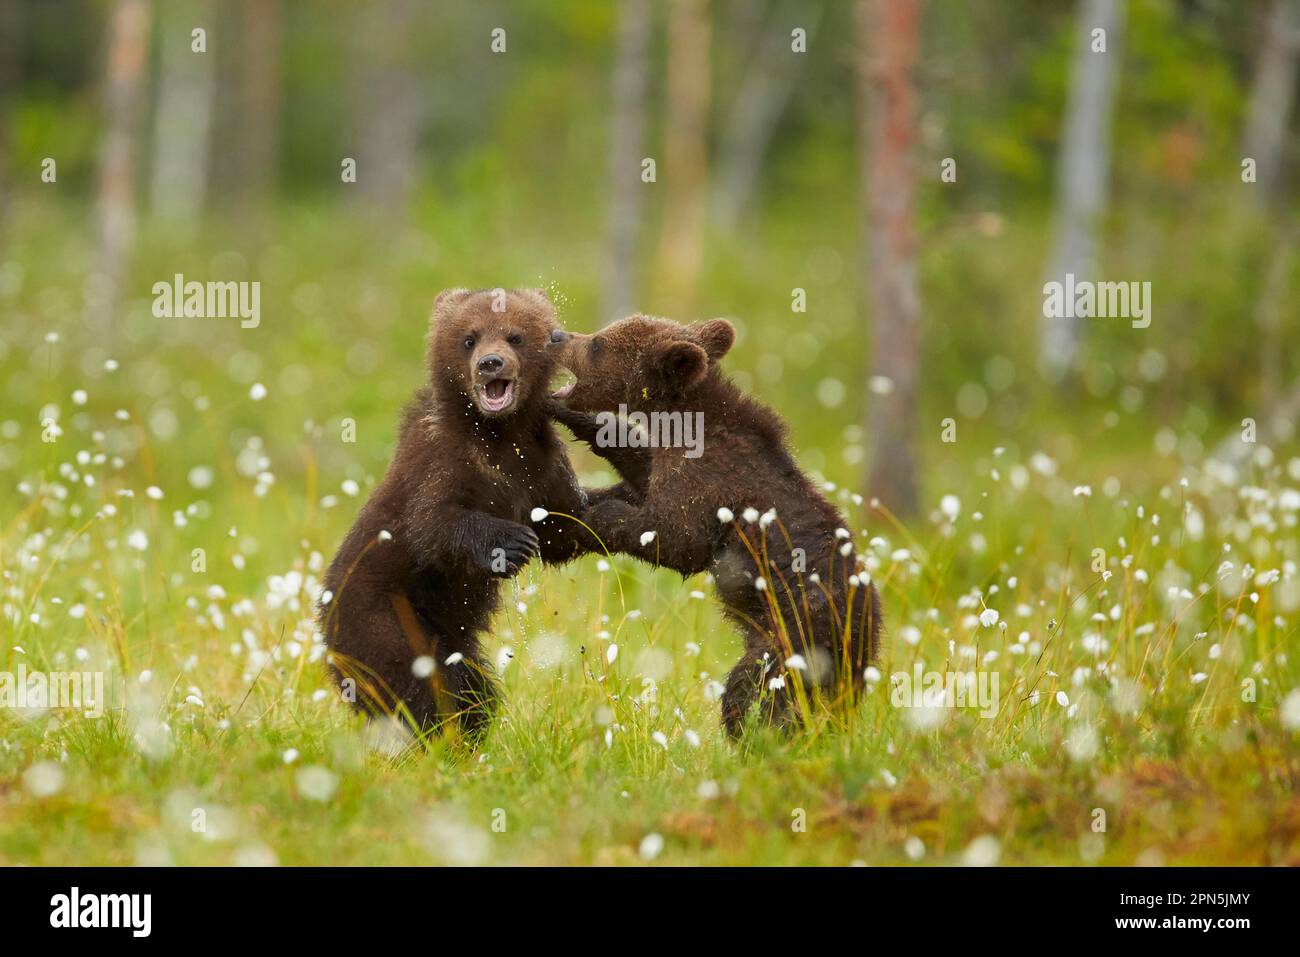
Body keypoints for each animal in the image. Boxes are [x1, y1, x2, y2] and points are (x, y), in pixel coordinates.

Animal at [320, 287, 631, 740]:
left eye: (515, 336)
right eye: (470, 338)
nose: (491, 363)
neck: (498, 433)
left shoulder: (541, 462)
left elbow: (565, 522)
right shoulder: (440, 459)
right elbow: (433, 523)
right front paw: (513, 542)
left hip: (452, 638)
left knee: (473, 688)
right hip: (379, 615)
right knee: (415, 683)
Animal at [548, 314, 882, 737]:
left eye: (597, 345)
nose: (556, 336)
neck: (684, 420)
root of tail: (870, 630)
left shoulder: (710, 484)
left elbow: (676, 539)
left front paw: (581, 520)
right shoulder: (667, 466)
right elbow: (640, 468)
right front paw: (571, 416)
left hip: (796, 634)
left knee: (753, 689)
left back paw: (757, 736)